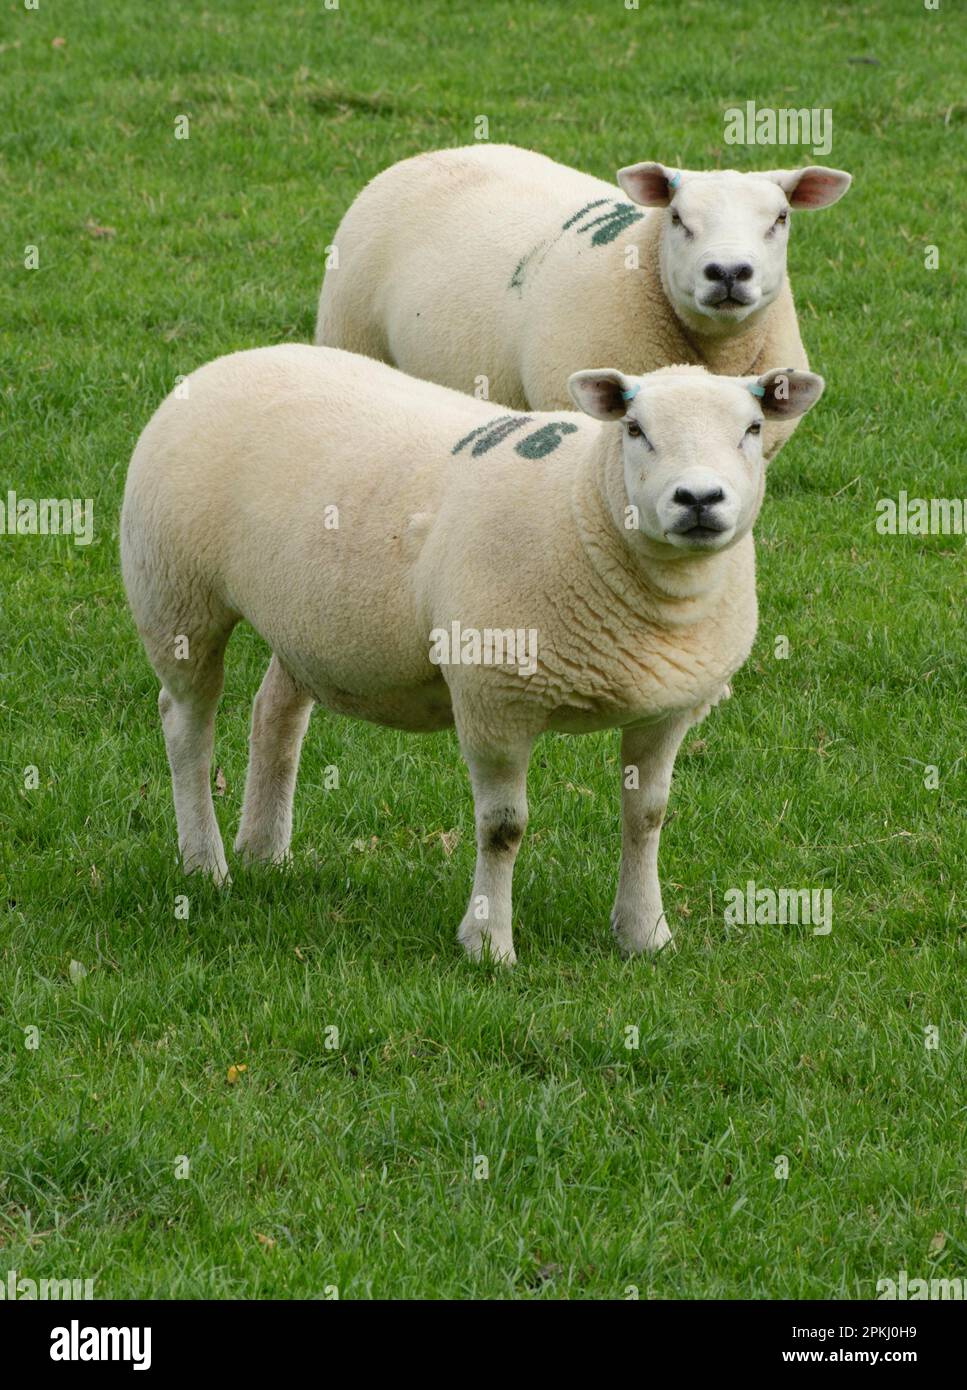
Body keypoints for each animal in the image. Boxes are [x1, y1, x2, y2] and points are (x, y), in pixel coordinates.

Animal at [120, 344, 824, 963]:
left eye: (753, 427)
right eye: (634, 428)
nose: (699, 500)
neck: (585, 506)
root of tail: (232, 360)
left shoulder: (668, 708)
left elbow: (646, 817)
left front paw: (644, 933)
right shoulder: (494, 698)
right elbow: (503, 828)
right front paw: (488, 944)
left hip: (301, 619)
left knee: (275, 715)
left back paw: (264, 852)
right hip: (175, 594)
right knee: (186, 727)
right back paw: (206, 863)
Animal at [314, 143, 848, 459]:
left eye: (781, 217)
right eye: (677, 217)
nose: (729, 272)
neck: (717, 351)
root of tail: (430, 154)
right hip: (351, 333)